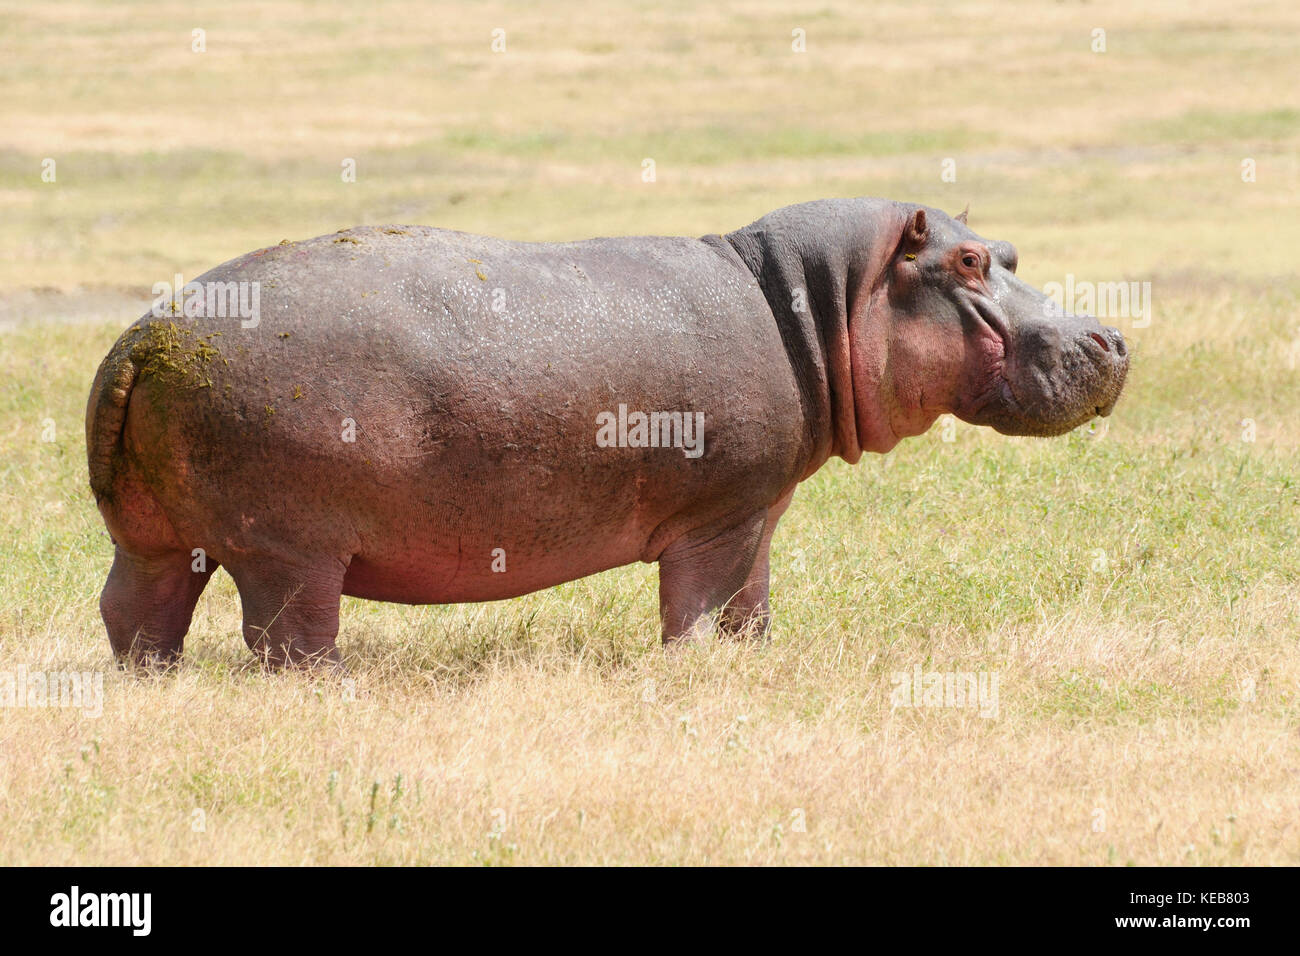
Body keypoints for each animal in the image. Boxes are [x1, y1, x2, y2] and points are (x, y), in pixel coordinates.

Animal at [86, 198, 1128, 667]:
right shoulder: (722, 516)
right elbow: (704, 602)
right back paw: (336, 684)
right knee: (287, 637)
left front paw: (757, 663)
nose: (1110, 337)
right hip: (290, 549)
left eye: (1008, 250)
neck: (818, 302)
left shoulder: (761, 508)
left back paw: (155, 679)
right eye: (968, 261)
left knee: (135, 611)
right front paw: (702, 670)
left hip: (155, 537)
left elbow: (753, 600)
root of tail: (141, 339)